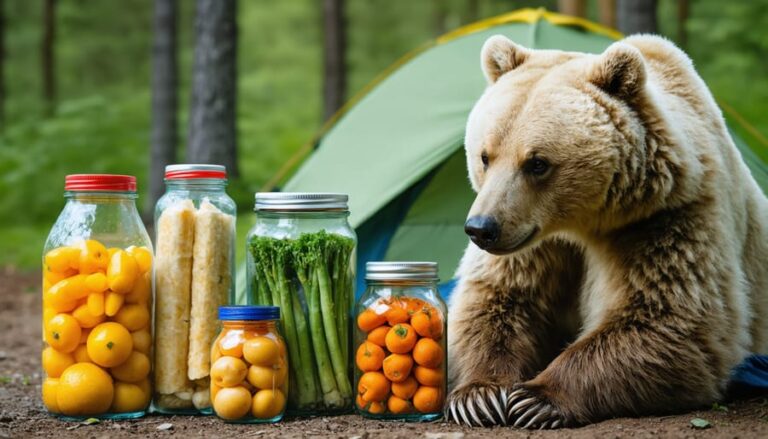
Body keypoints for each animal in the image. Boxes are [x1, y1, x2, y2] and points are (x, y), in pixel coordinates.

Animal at [445, 34, 768, 429]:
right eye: (485, 156)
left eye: (537, 163)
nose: (482, 228)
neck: (580, 223)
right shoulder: (534, 243)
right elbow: (497, 297)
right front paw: (480, 396)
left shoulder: (665, 220)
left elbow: (668, 317)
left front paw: (534, 398)